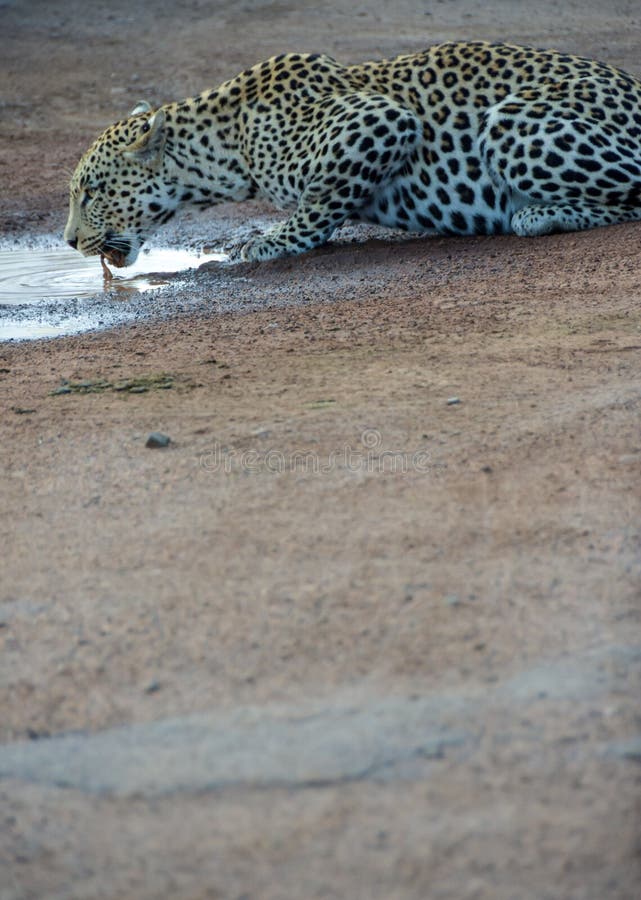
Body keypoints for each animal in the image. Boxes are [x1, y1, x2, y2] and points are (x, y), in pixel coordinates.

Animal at [64, 40, 641, 266]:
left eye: (90, 192)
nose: (67, 241)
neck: (225, 144)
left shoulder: (380, 119)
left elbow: (318, 203)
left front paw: (270, 241)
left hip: (505, 123)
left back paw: (537, 214)